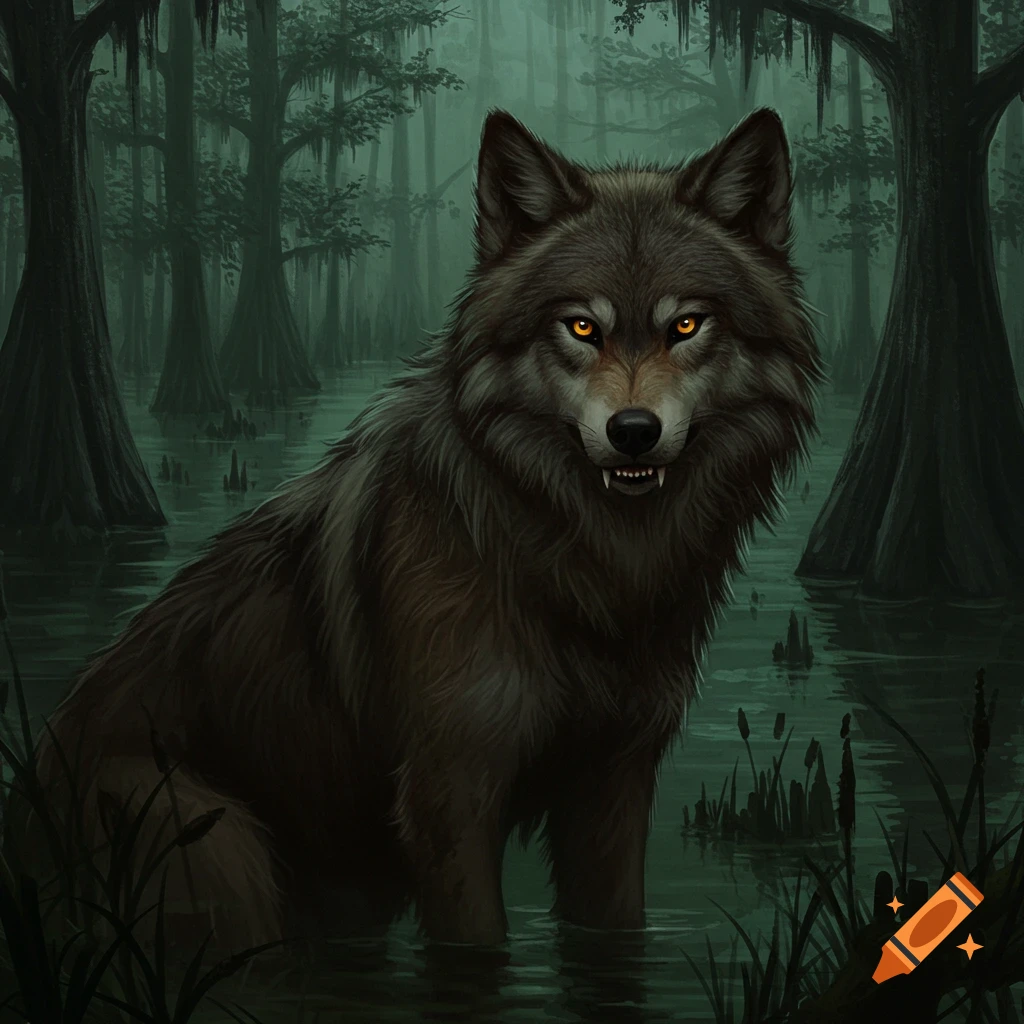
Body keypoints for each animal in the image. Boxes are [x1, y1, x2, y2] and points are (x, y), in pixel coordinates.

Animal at [25, 107, 820, 948]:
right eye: (581, 327)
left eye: (687, 324)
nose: (633, 432)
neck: (582, 558)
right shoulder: (450, 792)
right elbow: (474, 948)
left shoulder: (613, 784)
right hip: (223, 857)